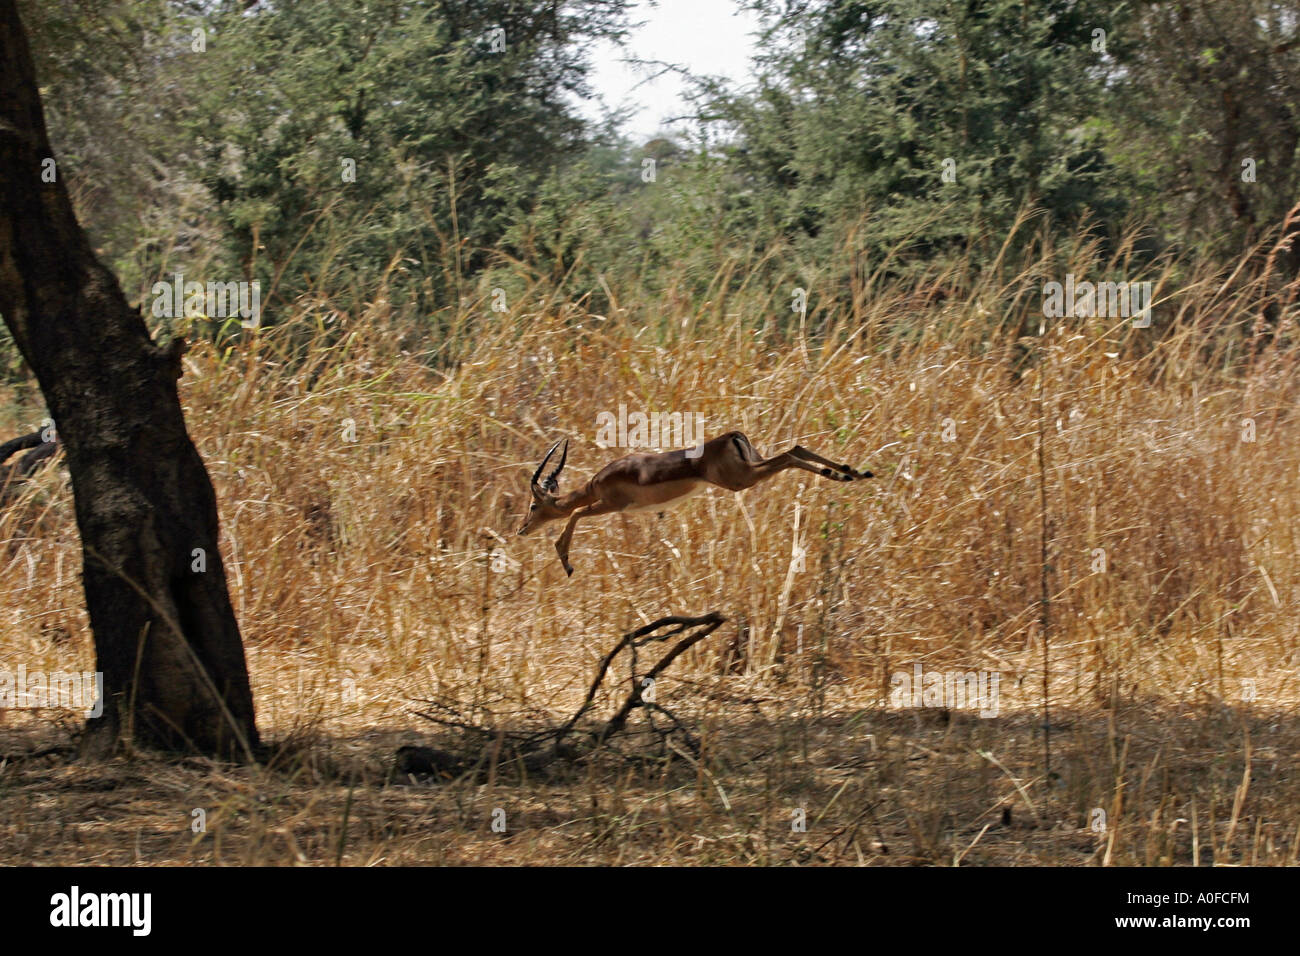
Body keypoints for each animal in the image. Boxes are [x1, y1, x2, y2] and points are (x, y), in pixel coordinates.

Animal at [518, 431, 873, 576]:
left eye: (533, 505)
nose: (521, 529)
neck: (596, 483)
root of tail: (732, 436)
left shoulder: (610, 504)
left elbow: (575, 513)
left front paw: (567, 564)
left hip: (743, 479)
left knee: (789, 454)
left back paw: (842, 473)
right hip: (751, 469)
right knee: (796, 448)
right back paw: (852, 472)